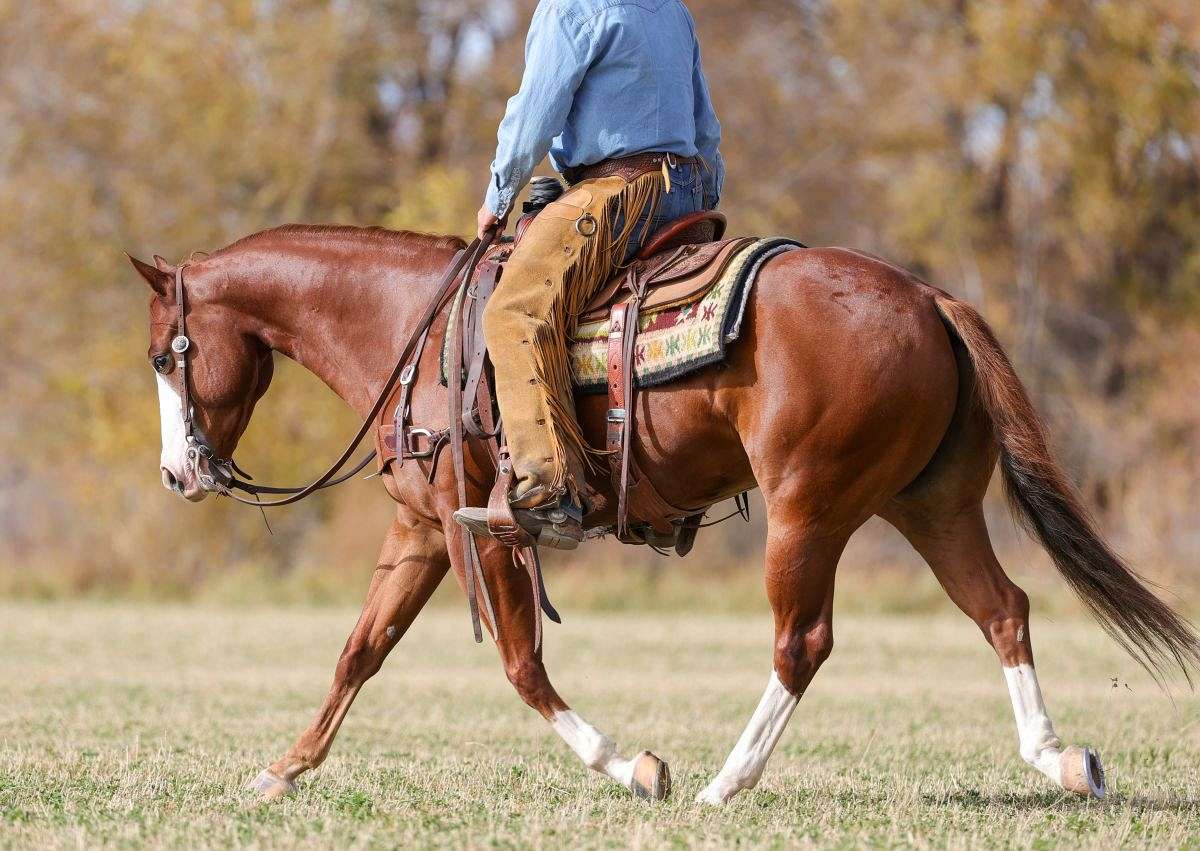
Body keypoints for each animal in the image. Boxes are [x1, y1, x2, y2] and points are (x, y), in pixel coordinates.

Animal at [129, 223, 1199, 805]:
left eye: (162, 354)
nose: (178, 472)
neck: (411, 329)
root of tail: (931, 298)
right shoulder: (424, 528)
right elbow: (360, 650)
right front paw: (282, 769)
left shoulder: (488, 531)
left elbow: (520, 666)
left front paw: (634, 765)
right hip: (929, 505)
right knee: (1002, 608)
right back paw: (1061, 759)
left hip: (808, 511)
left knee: (803, 641)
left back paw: (729, 781)